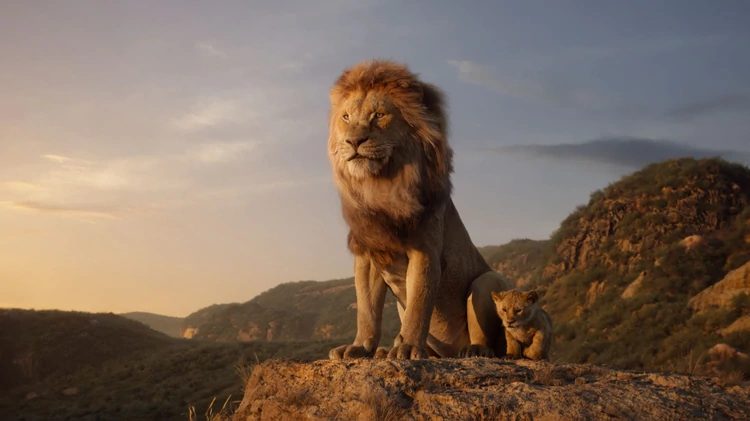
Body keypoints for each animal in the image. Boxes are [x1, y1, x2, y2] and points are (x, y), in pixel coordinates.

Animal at [326, 60, 513, 360]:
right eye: (346, 117)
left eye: (378, 115)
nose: (353, 141)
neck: (381, 185)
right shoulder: (368, 254)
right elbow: (367, 310)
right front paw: (360, 347)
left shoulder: (424, 249)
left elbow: (419, 304)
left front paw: (408, 348)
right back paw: (386, 351)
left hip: (487, 280)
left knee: (488, 337)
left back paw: (473, 350)